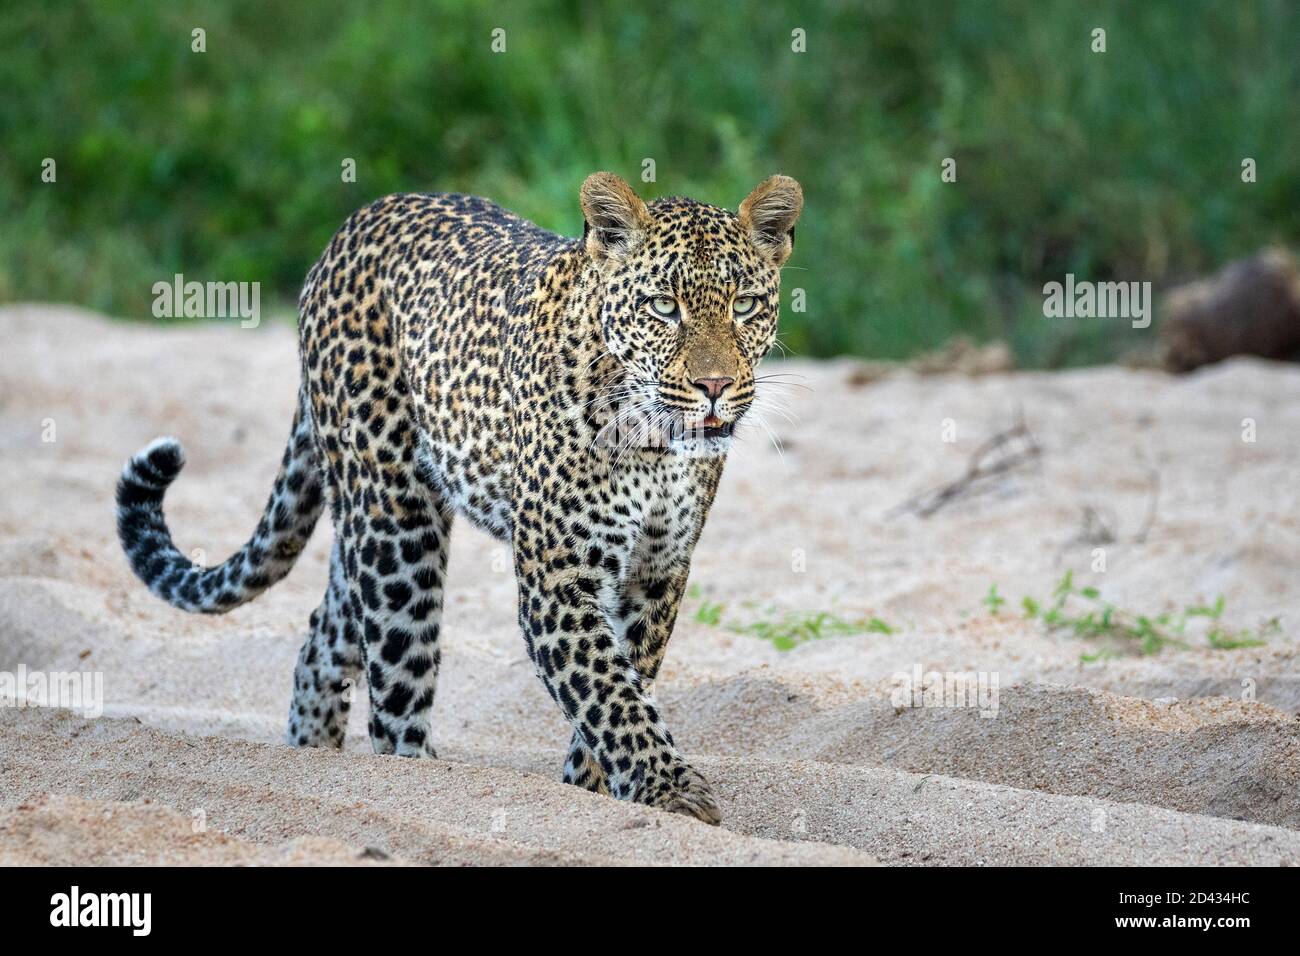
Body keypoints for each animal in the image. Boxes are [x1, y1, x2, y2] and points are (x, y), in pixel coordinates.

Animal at [115, 171, 803, 824]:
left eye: (745, 305)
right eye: (663, 306)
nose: (714, 385)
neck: (654, 443)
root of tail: (353, 225)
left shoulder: (657, 573)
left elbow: (622, 685)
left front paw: (593, 794)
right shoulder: (560, 576)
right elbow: (608, 691)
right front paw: (669, 792)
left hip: (367, 526)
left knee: (324, 635)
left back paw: (312, 759)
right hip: (394, 525)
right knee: (393, 681)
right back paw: (416, 778)